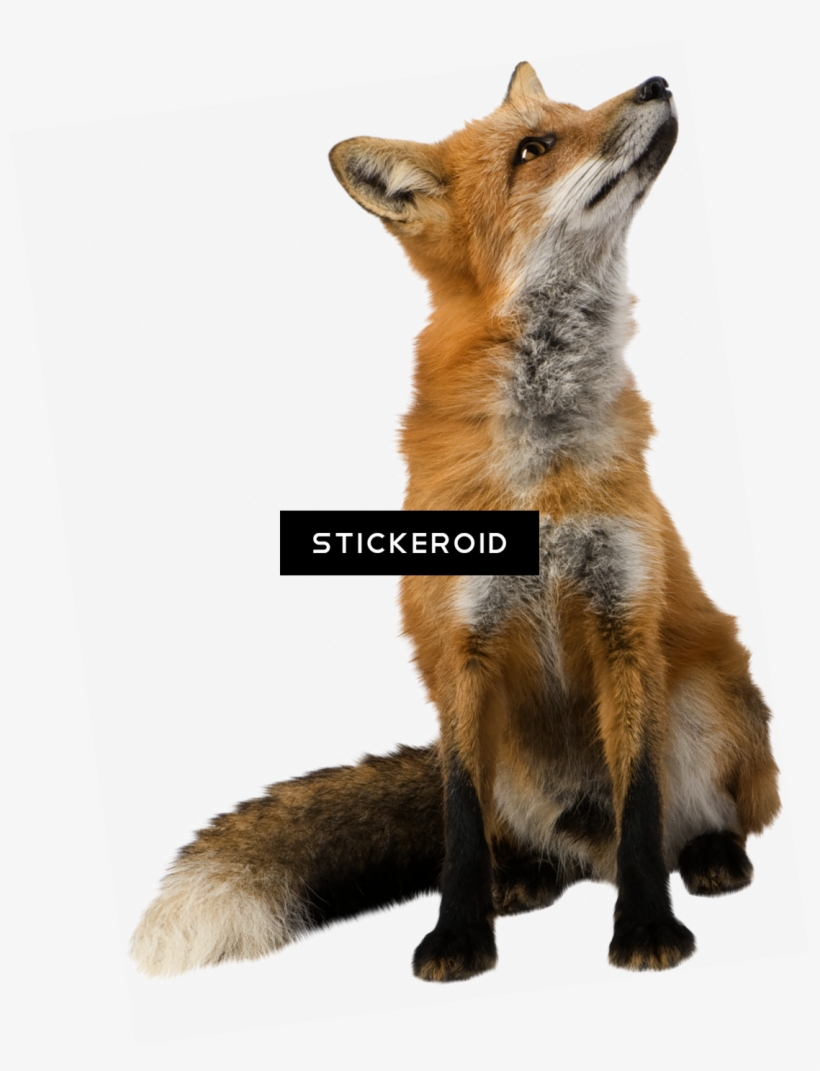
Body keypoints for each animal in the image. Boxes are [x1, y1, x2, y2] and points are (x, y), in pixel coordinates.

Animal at [131, 63, 780, 982]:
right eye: (535, 147)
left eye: (573, 108)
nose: (655, 80)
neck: (541, 474)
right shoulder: (458, 648)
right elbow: (461, 827)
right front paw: (459, 937)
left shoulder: (627, 624)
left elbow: (645, 804)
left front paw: (648, 929)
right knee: (527, 840)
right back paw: (526, 877)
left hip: (710, 703)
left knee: (684, 822)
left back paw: (712, 854)